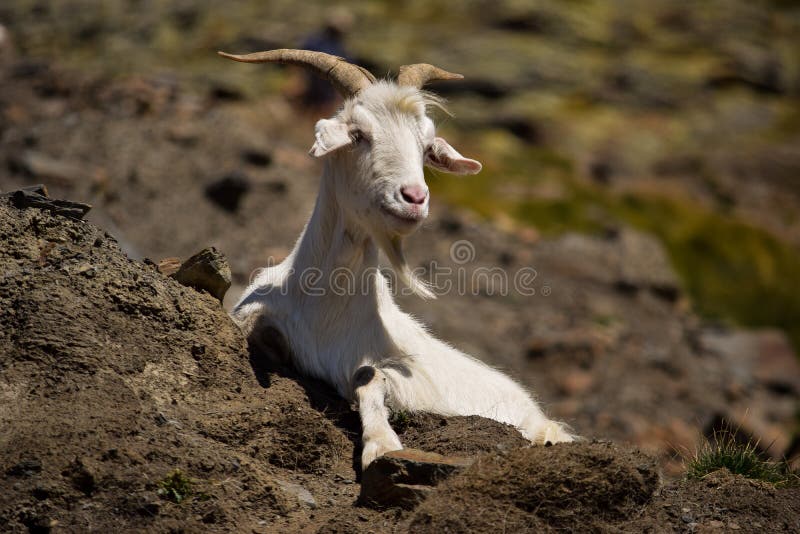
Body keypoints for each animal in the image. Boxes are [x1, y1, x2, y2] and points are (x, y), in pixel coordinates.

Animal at [221, 49, 574, 468]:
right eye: (358, 134)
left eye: (425, 146)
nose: (414, 197)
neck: (325, 307)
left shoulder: (393, 373)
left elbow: (369, 378)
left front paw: (382, 445)